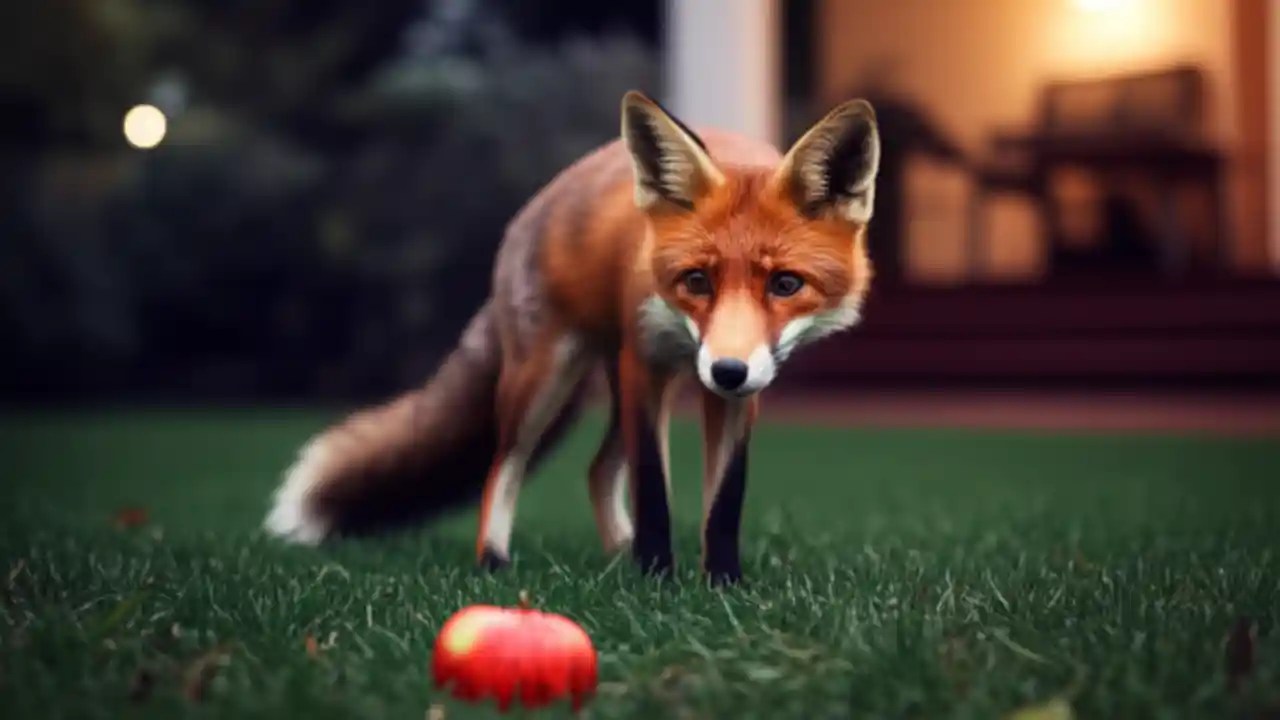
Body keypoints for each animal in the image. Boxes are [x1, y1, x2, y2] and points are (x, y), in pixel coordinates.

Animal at [264, 90, 880, 584]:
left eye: (785, 284)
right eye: (696, 281)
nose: (727, 371)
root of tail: (538, 204)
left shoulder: (735, 391)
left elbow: (725, 499)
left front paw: (722, 584)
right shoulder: (644, 363)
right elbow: (652, 488)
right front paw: (658, 582)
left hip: (641, 384)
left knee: (597, 469)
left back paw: (618, 551)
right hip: (547, 381)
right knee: (503, 464)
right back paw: (494, 560)